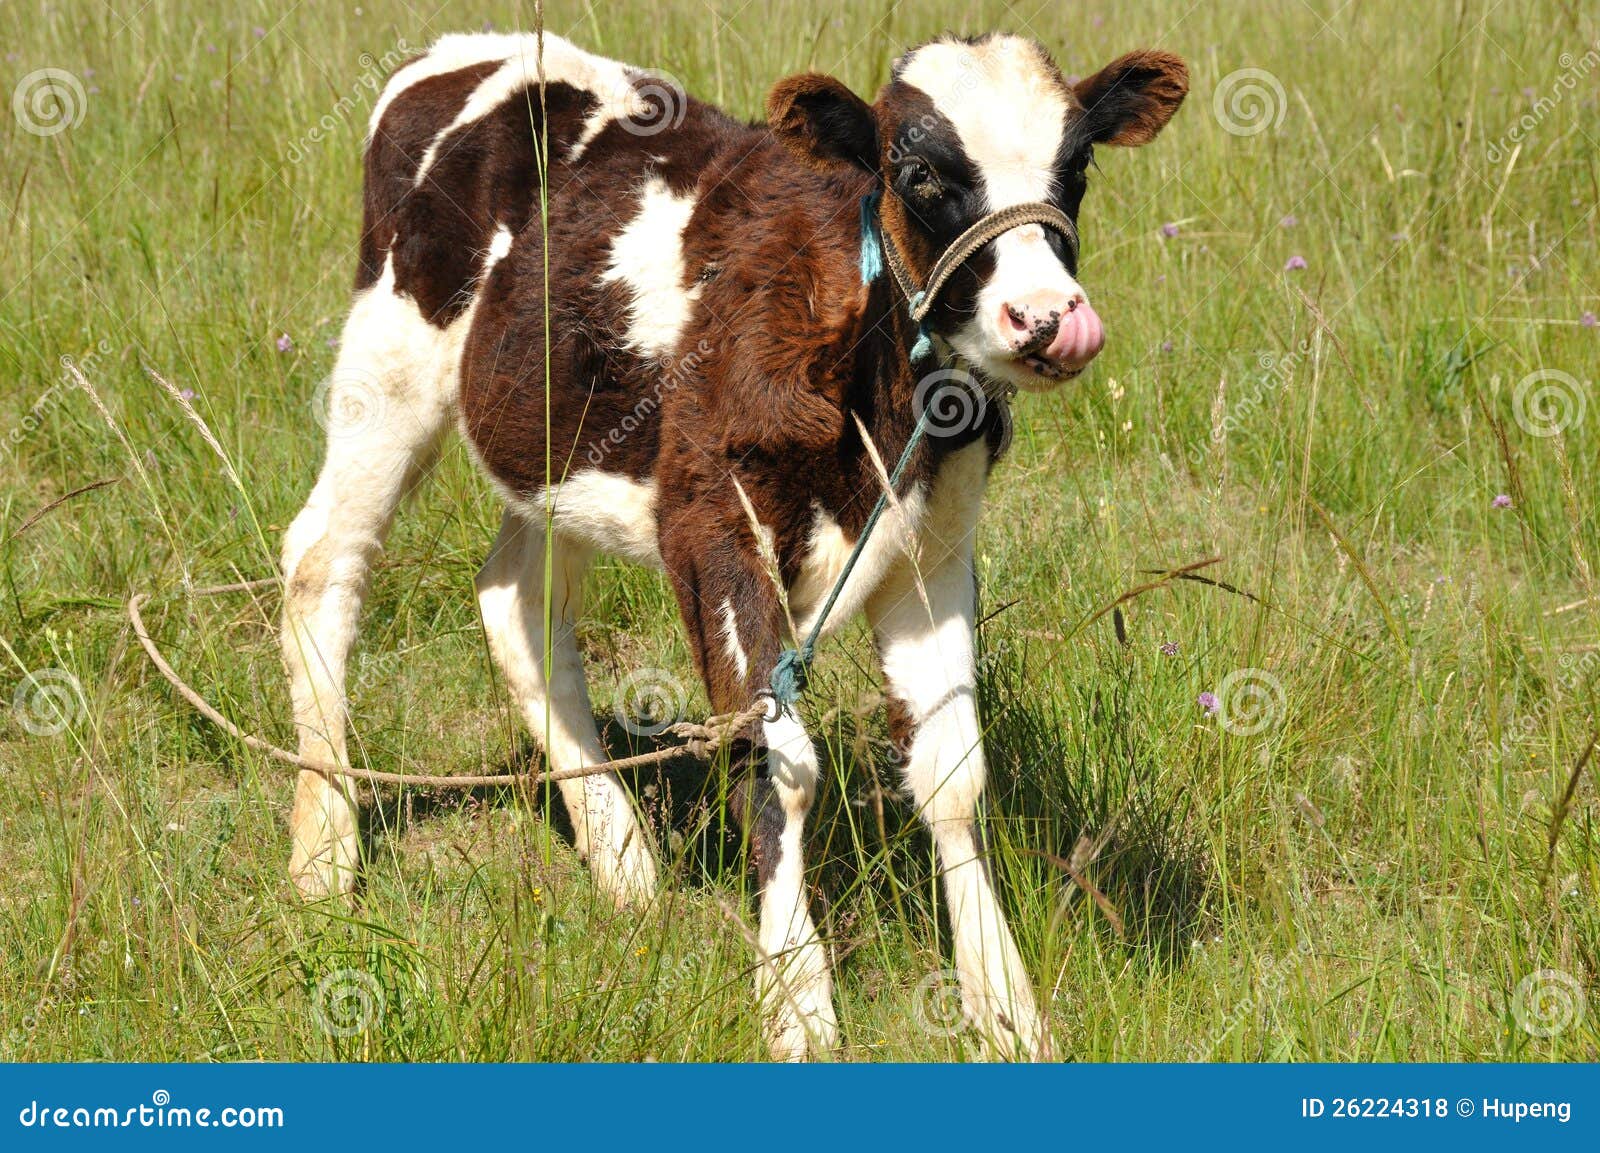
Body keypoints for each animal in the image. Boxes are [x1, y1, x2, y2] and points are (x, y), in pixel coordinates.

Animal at [279, 28, 1187, 1061]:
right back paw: (324, 852)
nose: (1046, 317)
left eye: (1077, 168)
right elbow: (777, 761)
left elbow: (955, 776)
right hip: (387, 367)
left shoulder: (933, 551)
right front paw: (797, 1002)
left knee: (515, 598)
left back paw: (623, 862)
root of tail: (465, 48)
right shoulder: (708, 518)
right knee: (322, 562)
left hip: (559, 449)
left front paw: (1004, 1006)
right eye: (916, 171)